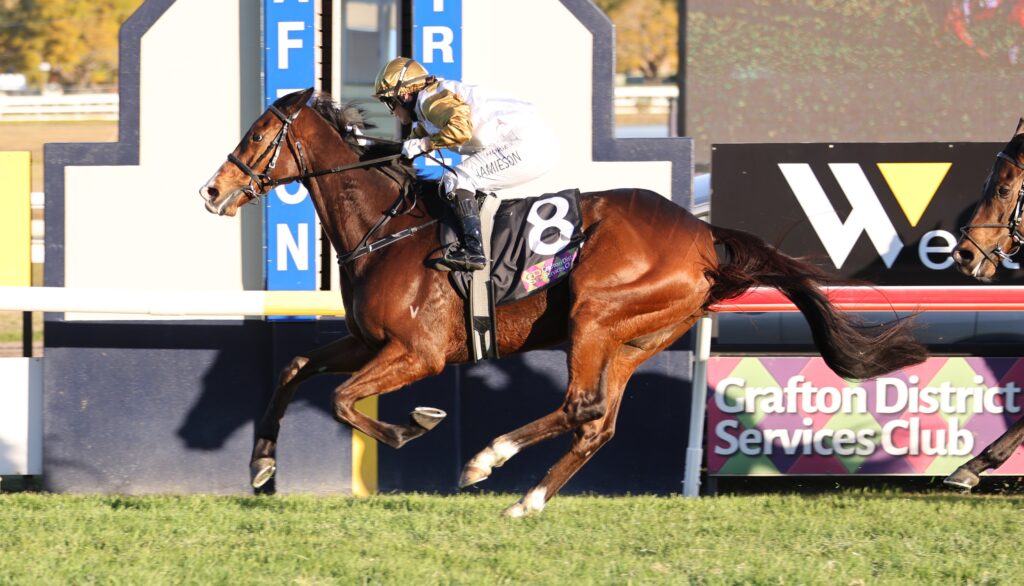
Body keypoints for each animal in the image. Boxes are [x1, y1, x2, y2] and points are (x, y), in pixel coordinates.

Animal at [199, 88, 927, 516]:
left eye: (258, 134)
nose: (212, 190)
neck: (388, 228)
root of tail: (705, 236)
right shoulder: (369, 341)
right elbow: (295, 369)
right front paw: (262, 466)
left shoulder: (418, 353)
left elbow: (345, 400)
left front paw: (415, 427)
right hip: (636, 336)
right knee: (598, 420)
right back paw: (527, 499)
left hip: (594, 312)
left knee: (581, 405)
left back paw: (487, 460)